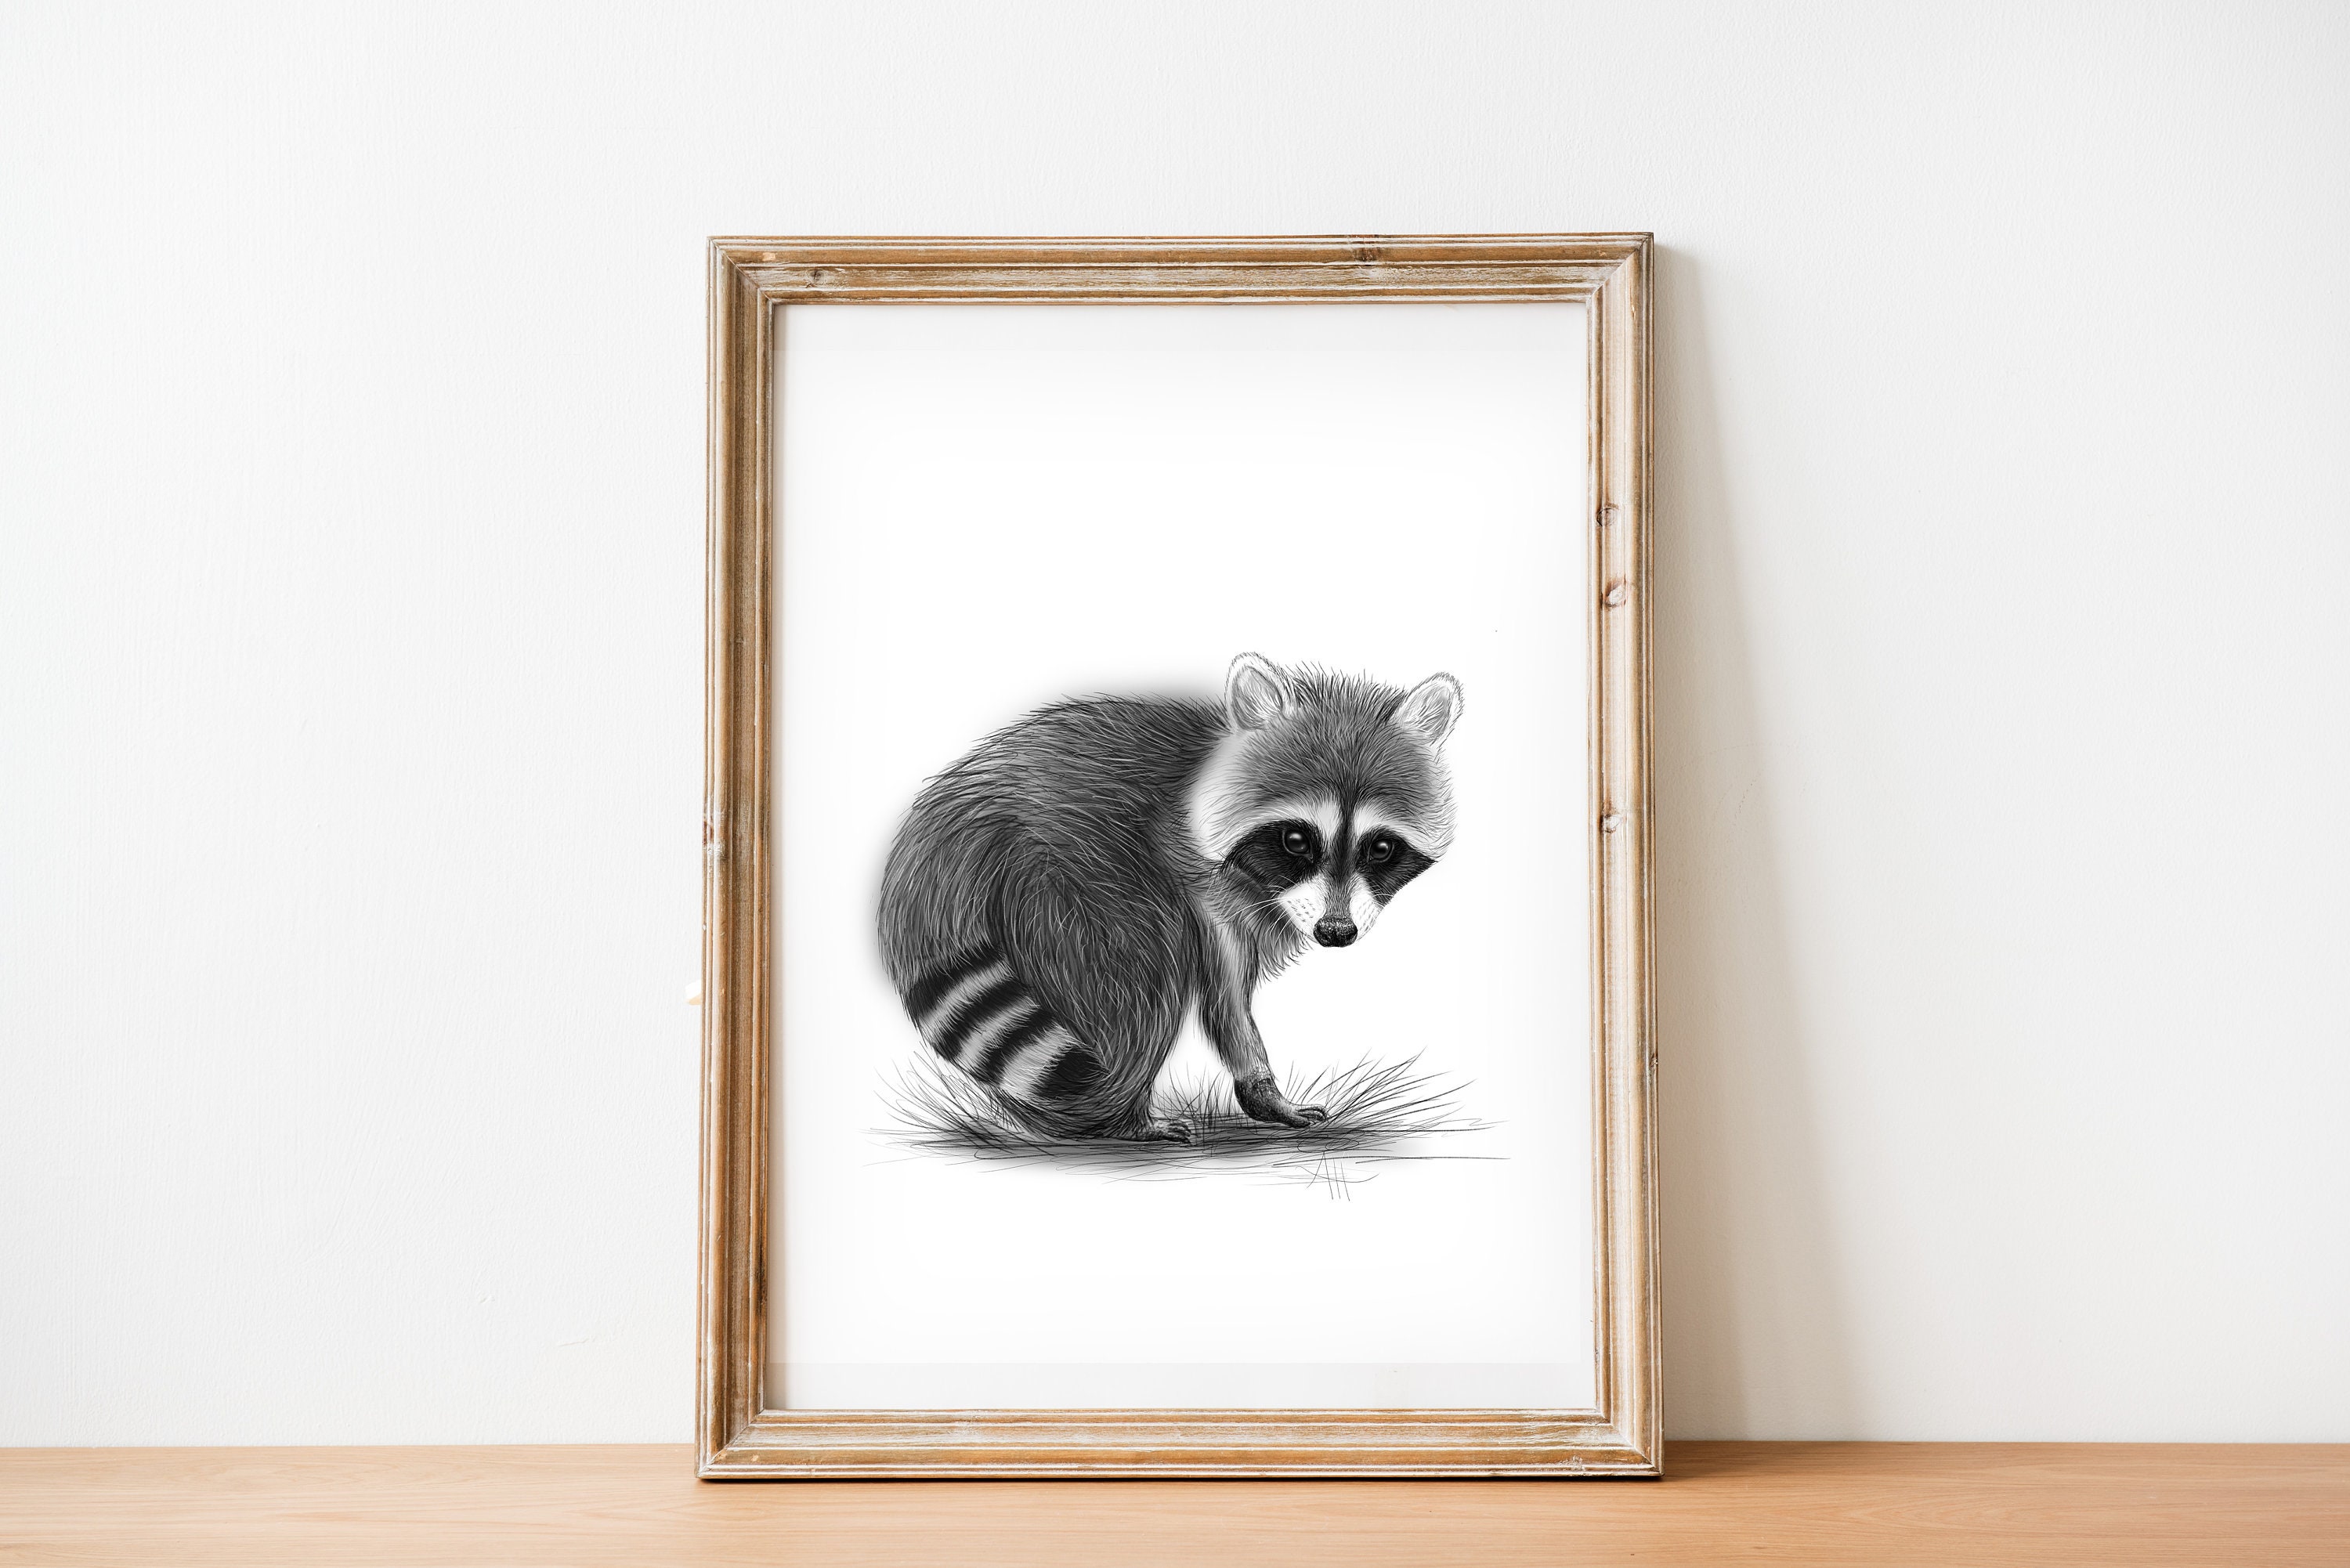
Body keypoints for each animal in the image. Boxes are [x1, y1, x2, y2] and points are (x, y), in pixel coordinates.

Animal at [878, 653, 1462, 1142]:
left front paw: (1261, 1090)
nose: (1336, 932)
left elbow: (1228, 994)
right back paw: (1115, 1118)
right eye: (1296, 840)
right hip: (1070, 876)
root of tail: (960, 811)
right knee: (1139, 982)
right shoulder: (1182, 863)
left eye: (1381, 848)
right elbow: (1220, 982)